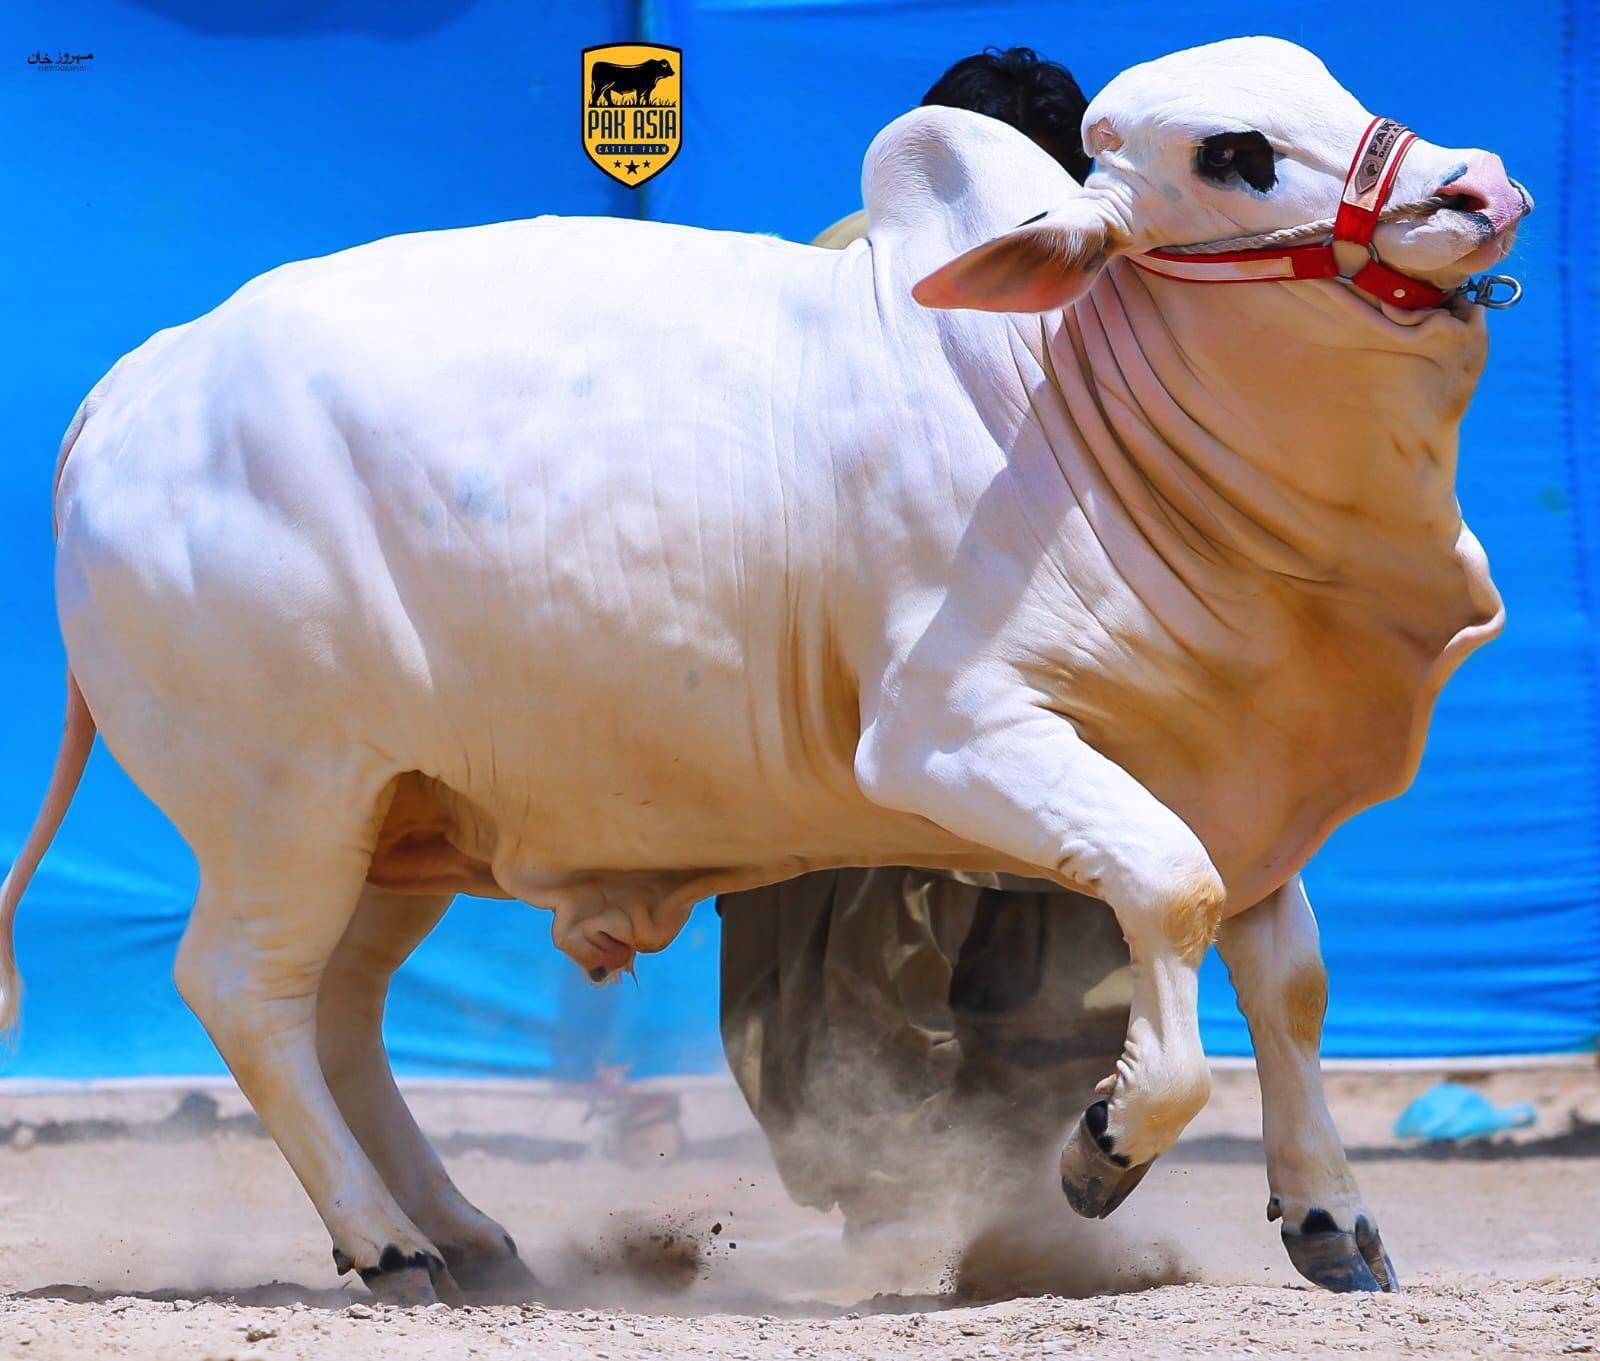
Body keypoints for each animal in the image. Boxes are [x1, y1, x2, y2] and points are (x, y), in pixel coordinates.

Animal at [0, 37, 1527, 1305]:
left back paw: (465, 1232)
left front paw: (1330, 1217)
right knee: (245, 992)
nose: (1478, 184)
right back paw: (385, 1243)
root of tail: (133, 385)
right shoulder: (952, 737)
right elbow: (1175, 893)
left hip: (402, 818)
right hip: (287, 802)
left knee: (342, 1008)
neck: (1071, 397)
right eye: (1231, 152)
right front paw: (1103, 1142)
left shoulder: (1233, 759)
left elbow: (1290, 976)